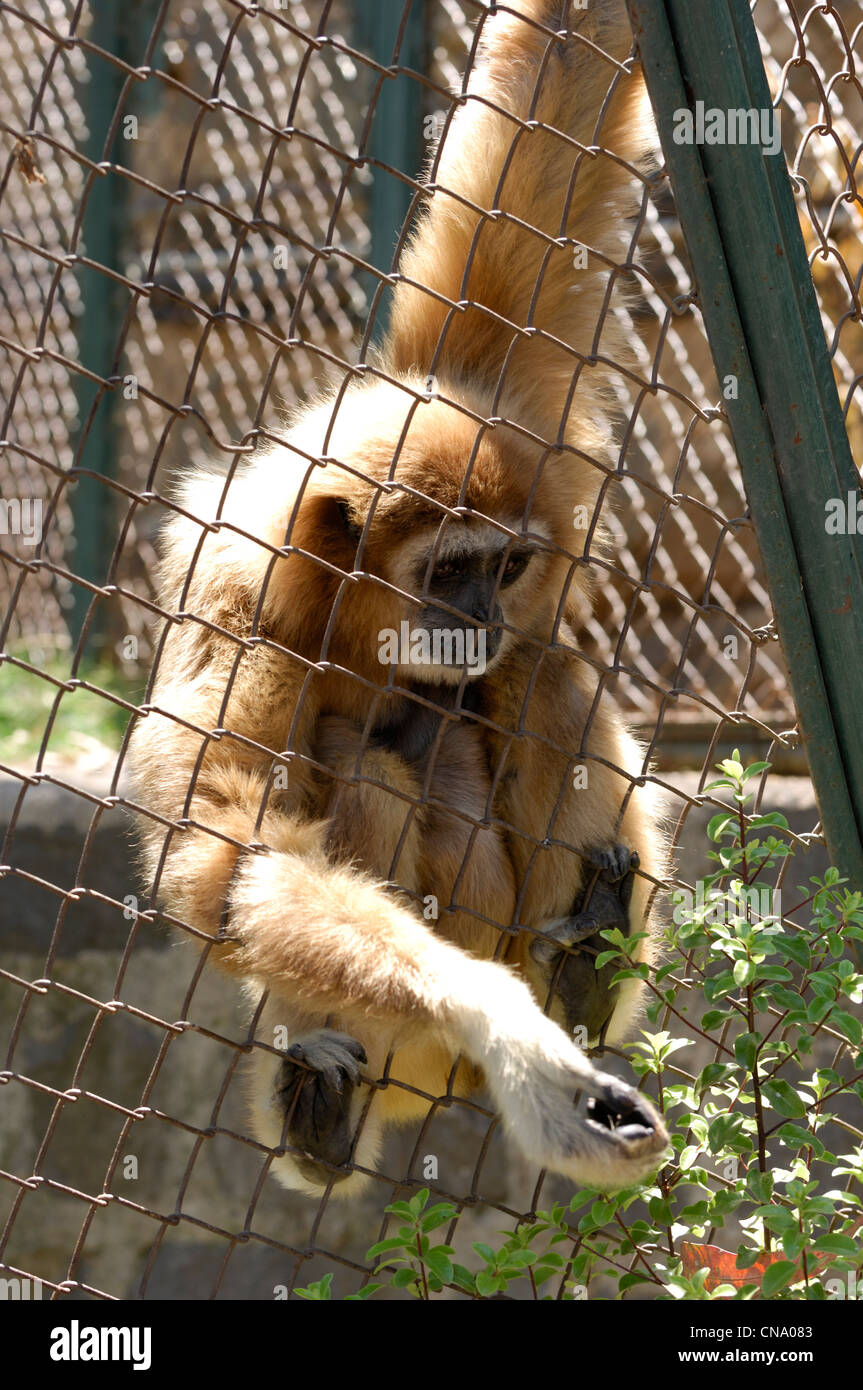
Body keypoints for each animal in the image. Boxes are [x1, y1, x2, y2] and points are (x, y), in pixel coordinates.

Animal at [128, 0, 670, 1200]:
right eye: (447, 571)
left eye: (505, 567)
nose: (482, 616)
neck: (348, 611)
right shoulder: (236, 605)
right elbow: (227, 854)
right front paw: (507, 1028)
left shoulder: (503, 391)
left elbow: (553, 108)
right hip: (414, 1047)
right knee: (369, 763)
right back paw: (331, 1112)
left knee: (539, 672)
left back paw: (582, 979)